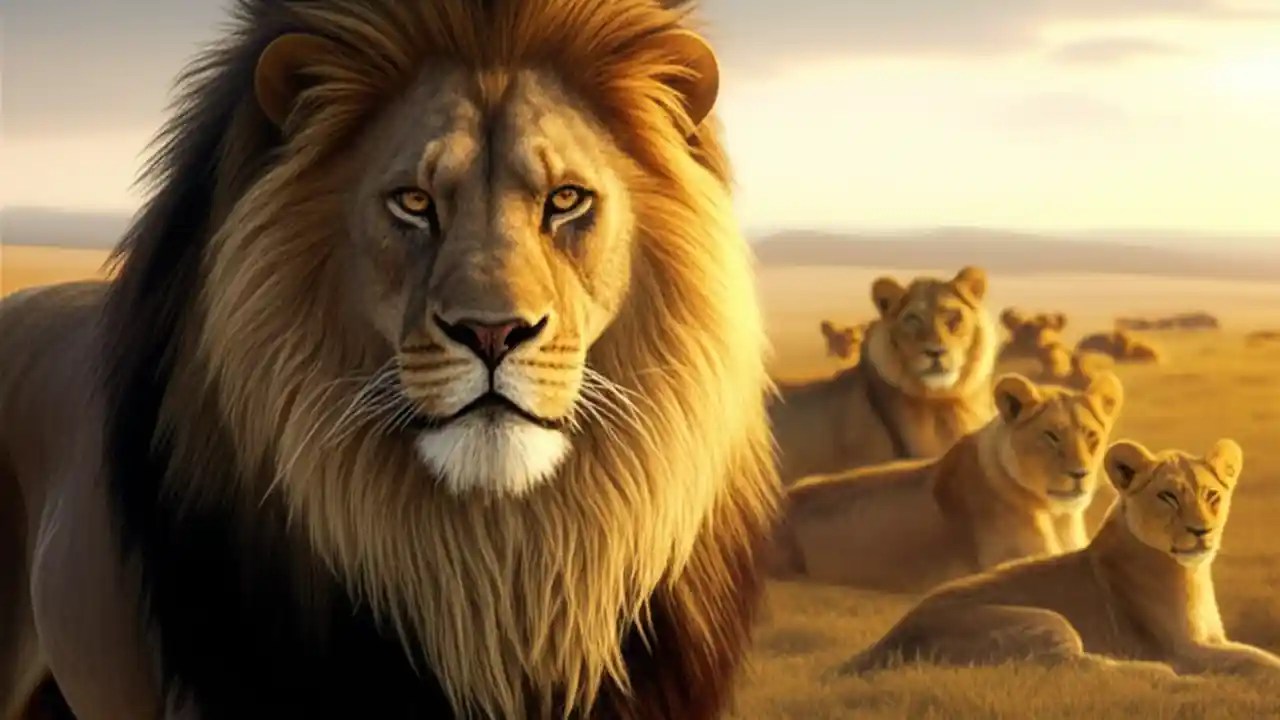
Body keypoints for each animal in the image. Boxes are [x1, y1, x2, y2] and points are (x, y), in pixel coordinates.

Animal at [846, 437, 1280, 680]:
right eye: (1168, 496)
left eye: (1211, 495)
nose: (1201, 531)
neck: (1193, 572)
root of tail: (891, 635)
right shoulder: (1184, 649)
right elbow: (1257, 660)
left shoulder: (1211, 639)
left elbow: (1253, 653)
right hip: (1048, 621)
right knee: (1071, 667)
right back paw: (1158, 673)